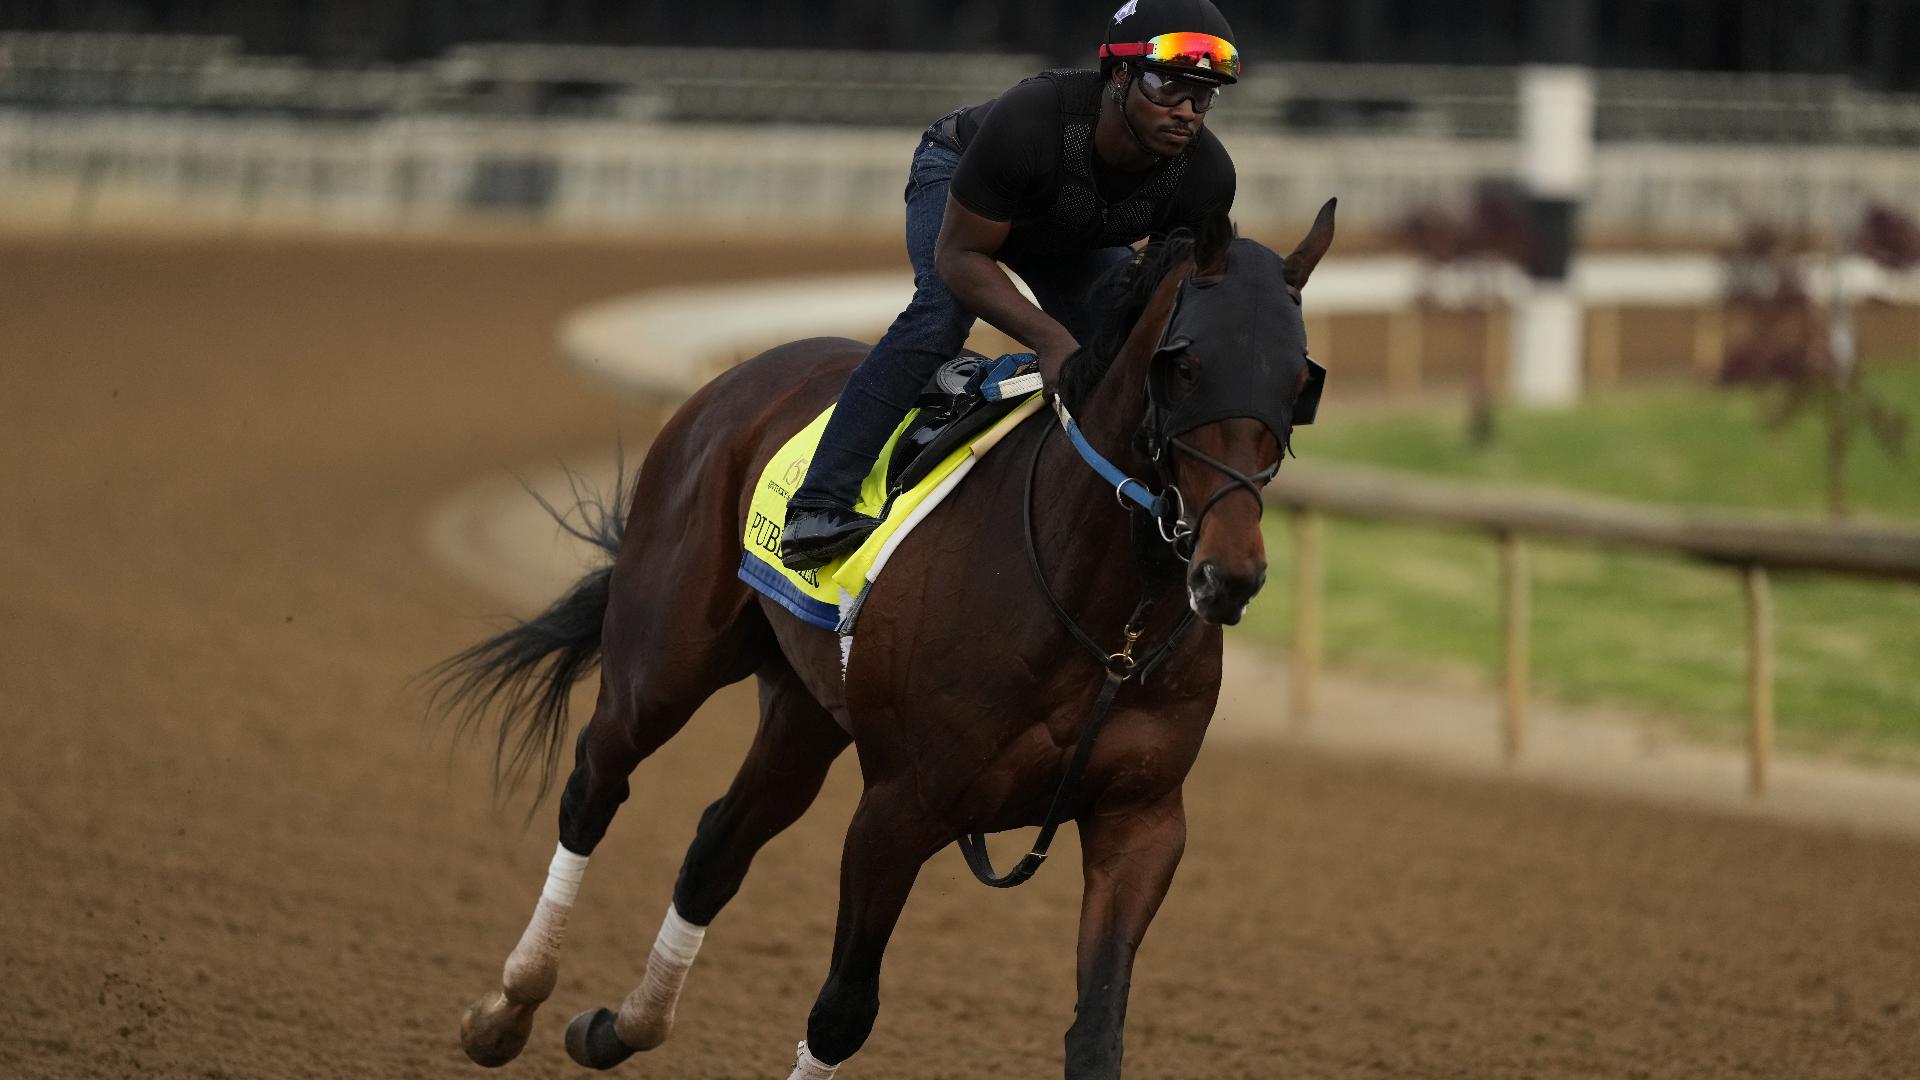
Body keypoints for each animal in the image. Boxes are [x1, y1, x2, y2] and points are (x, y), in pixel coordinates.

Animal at [434, 199, 1335, 1079]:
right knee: (596, 782)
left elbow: (1098, 1033)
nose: (1229, 575)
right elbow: (841, 1013)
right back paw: (506, 1008)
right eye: (1184, 367)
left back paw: (620, 1025)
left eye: (1298, 383)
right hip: (663, 661)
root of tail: (740, 379)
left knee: (719, 841)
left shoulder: (1140, 818)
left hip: (805, 711)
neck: (1102, 617)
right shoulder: (900, 809)